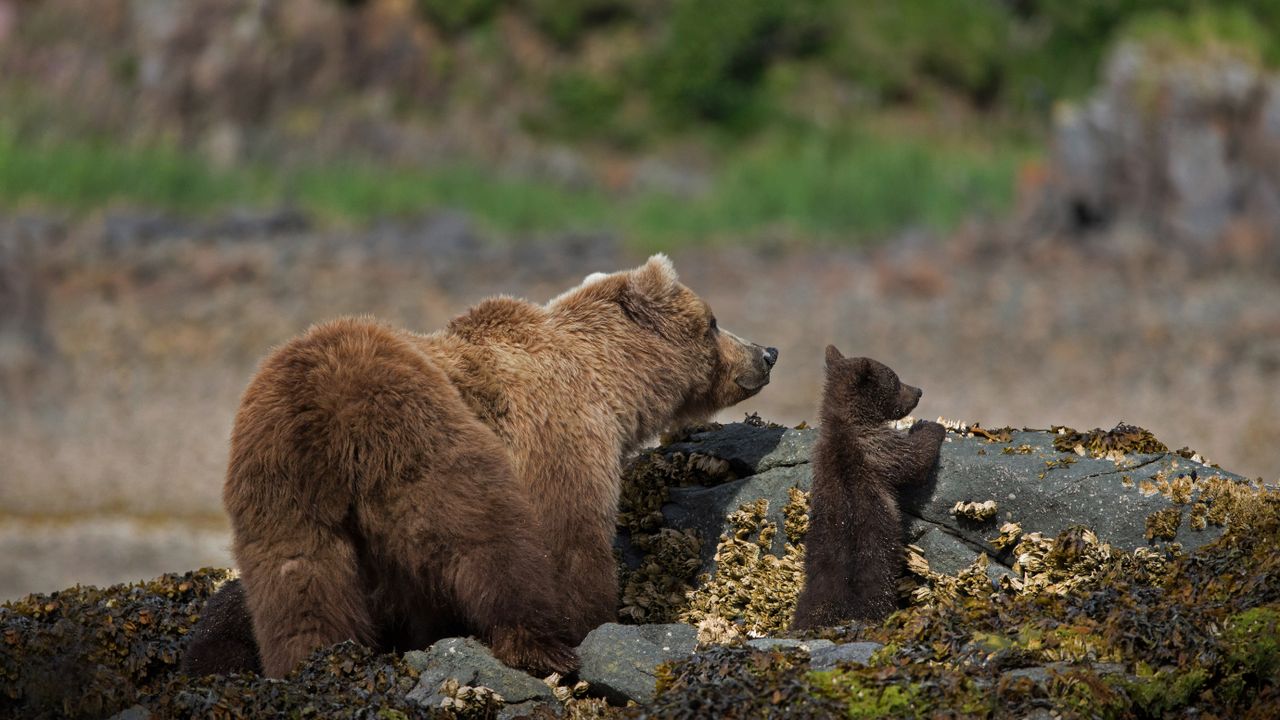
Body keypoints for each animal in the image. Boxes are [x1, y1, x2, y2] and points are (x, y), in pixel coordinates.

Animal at [189, 255, 778, 678]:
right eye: (714, 321)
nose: (767, 352)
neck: (611, 386)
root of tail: (319, 409)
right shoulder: (558, 433)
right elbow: (569, 538)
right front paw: (596, 619)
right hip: (421, 436)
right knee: (485, 539)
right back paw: (540, 645)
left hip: (277, 483)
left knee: (297, 581)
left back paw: (312, 661)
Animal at [791, 346, 944, 630]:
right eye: (895, 380)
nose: (918, 391)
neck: (846, 422)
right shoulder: (877, 447)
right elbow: (913, 459)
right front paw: (930, 426)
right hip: (876, 572)